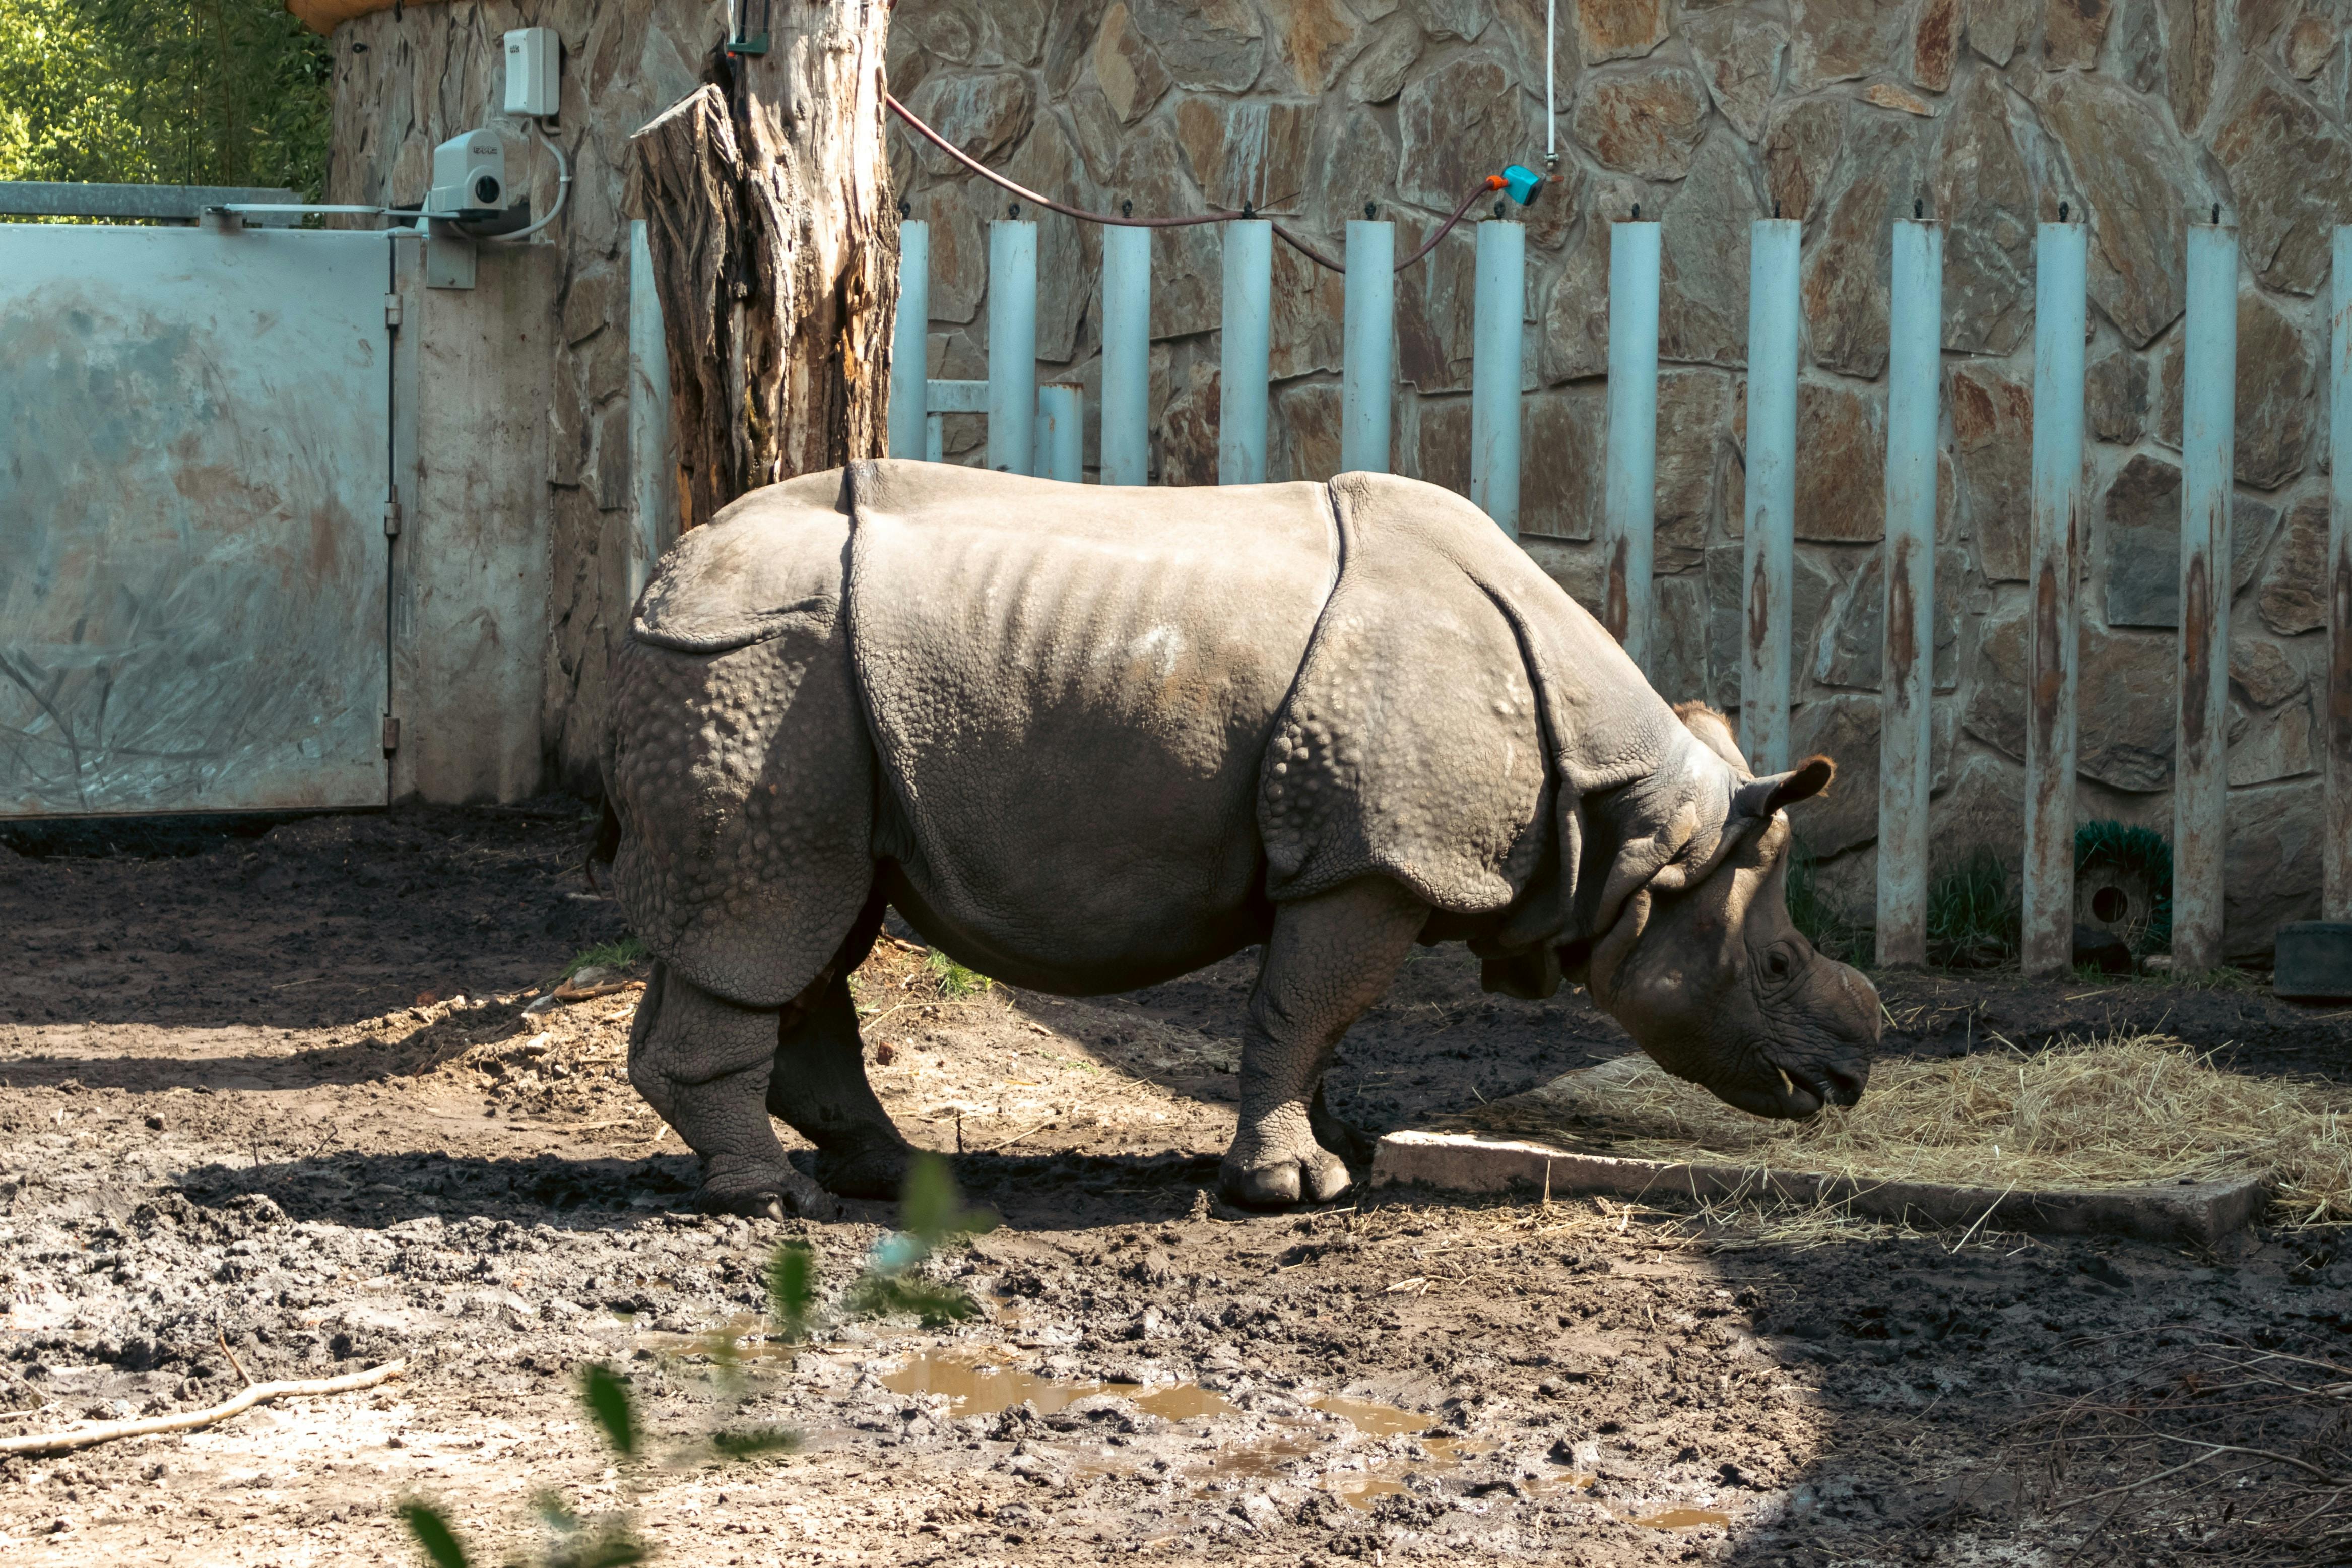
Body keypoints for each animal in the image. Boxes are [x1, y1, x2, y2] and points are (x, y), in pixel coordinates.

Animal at [598, 461, 1880, 1218]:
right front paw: (1297, 1188)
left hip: (802, 696)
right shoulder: (1375, 859)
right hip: (758, 671)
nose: (1849, 1079)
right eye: (1773, 964)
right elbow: (1308, 1004)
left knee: (807, 921)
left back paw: (896, 1178)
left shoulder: (1359, 853)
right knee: (775, 913)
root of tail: (660, 577)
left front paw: (1338, 1146)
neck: (1633, 827)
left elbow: (1316, 1019)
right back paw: (773, 1202)